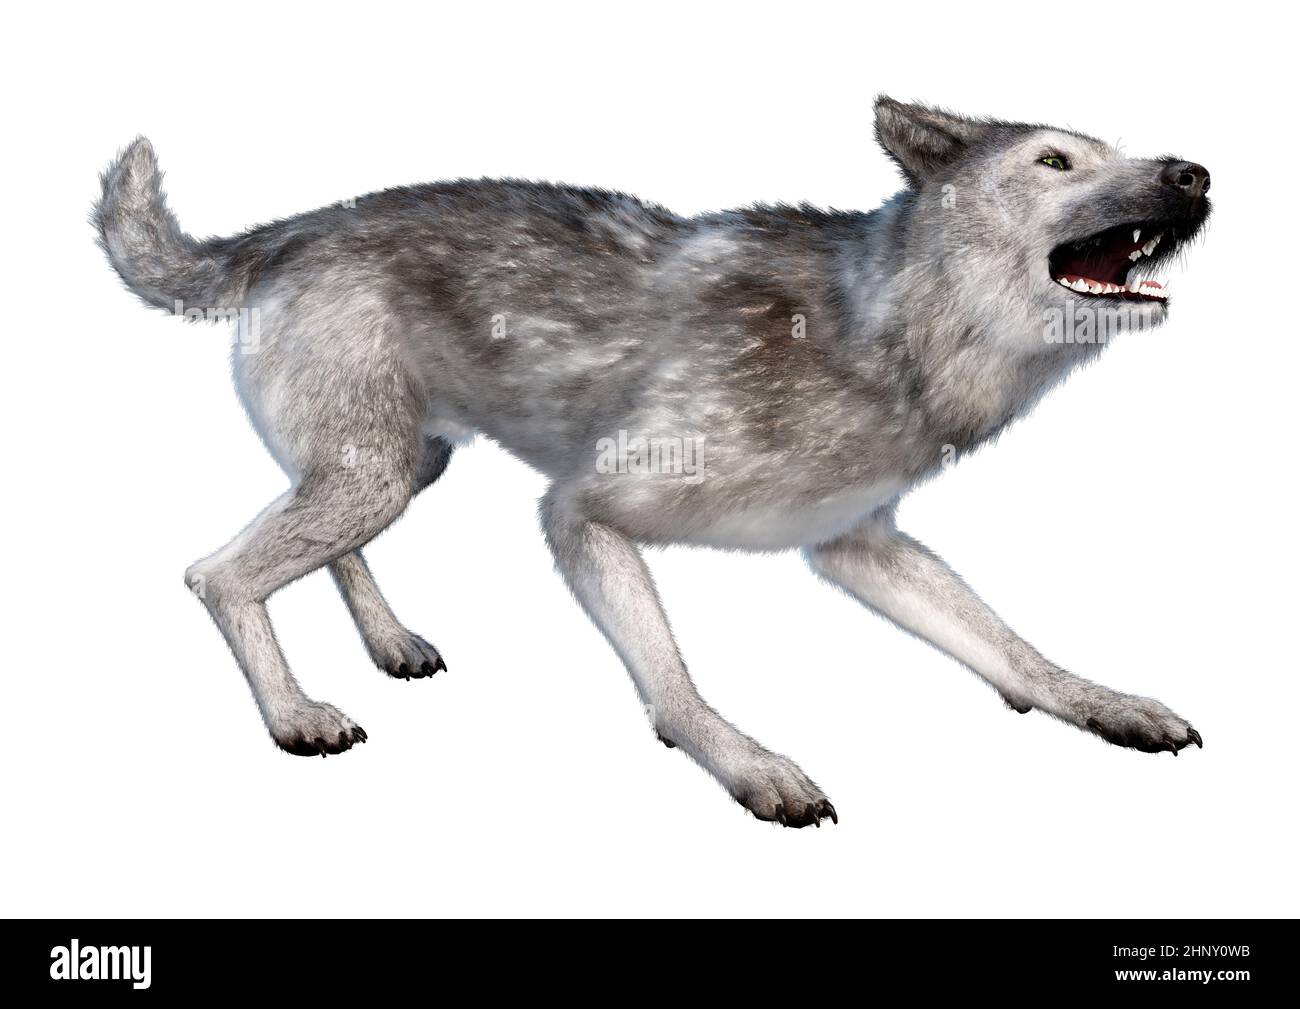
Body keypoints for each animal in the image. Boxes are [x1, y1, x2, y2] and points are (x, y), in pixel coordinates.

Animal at [95, 98, 1210, 827]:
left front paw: (1103, 703)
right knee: (218, 573)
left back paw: (391, 644)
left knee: (319, 545)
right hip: (369, 476)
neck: (881, 329)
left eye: (1115, 152)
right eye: (1056, 163)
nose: (1192, 173)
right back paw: (296, 717)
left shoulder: (858, 546)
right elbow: (671, 679)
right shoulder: (582, 509)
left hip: (401, 467)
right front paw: (744, 761)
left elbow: (1013, 650)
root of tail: (297, 228)